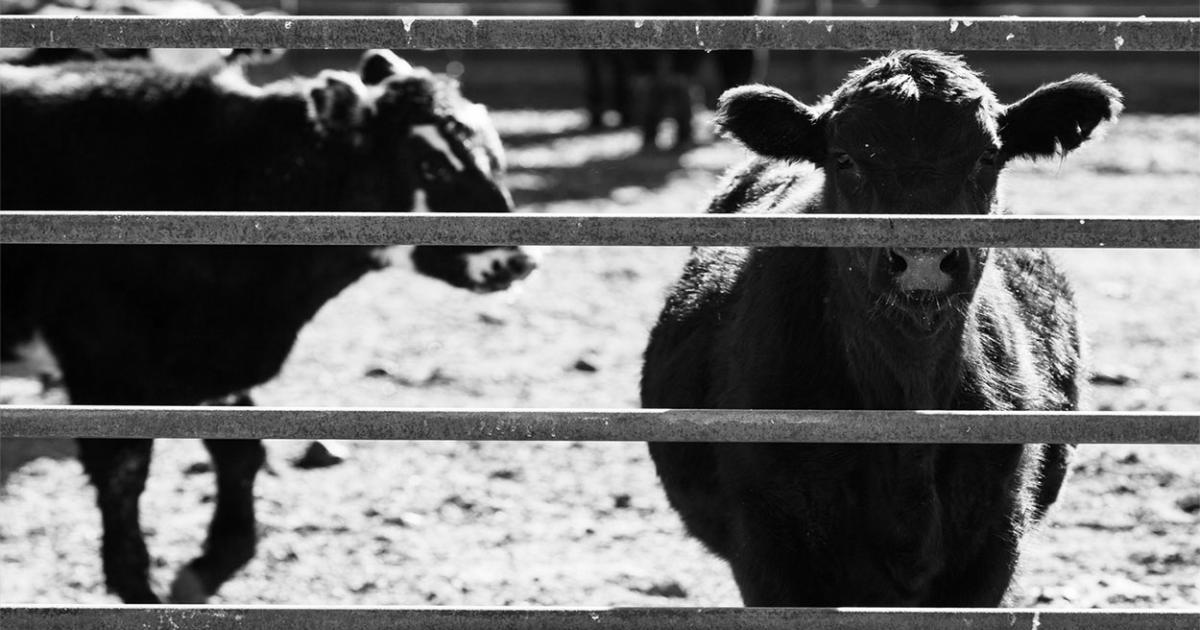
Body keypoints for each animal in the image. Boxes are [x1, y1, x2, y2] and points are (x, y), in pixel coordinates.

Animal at [0, 49, 535, 603]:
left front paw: (208, 565)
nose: (518, 261)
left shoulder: (214, 361)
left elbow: (240, 453)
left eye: (493, 153)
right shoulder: (101, 363)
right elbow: (123, 473)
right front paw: (138, 588)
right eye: (430, 163)